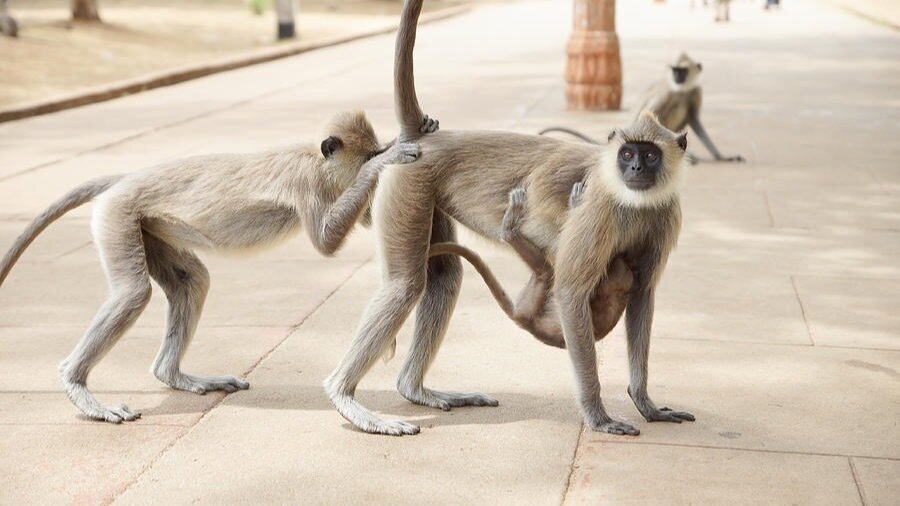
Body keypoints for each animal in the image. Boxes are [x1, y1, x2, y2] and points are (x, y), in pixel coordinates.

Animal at [0, 111, 434, 423]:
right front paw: (389, 159)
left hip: (147, 225)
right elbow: (326, 243)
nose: (378, 156)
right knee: (133, 293)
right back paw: (77, 385)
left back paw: (172, 375)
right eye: (366, 156)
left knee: (192, 281)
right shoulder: (307, 182)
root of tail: (126, 179)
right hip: (118, 214)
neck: (312, 157)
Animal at [322, 0, 695, 437]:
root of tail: (425, 139)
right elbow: (571, 292)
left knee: (446, 276)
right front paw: (598, 415)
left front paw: (645, 403)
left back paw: (415, 390)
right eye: (627, 153)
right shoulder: (601, 210)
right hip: (409, 183)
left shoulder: (664, 215)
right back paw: (345, 397)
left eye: (650, 155)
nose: (635, 169)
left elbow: (641, 293)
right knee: (404, 285)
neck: (632, 200)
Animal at [539, 53, 744, 165]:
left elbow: (695, 120)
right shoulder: (667, 93)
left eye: (683, 71)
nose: (677, 77)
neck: (682, 90)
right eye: (675, 70)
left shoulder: (694, 92)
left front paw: (722, 156)